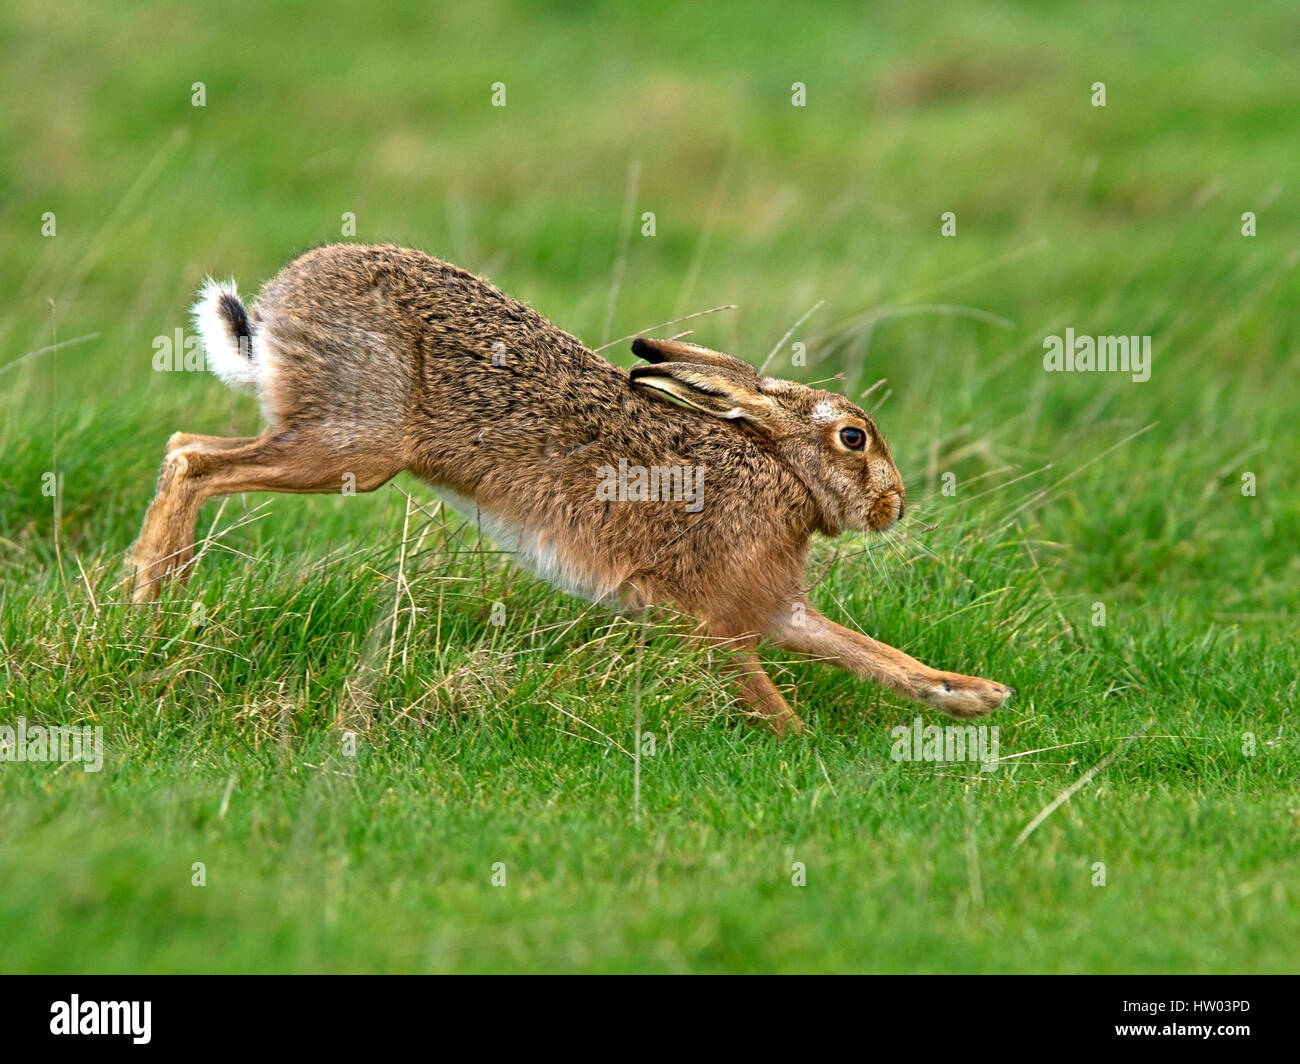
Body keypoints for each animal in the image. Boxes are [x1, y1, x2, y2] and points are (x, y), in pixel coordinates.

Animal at [129, 243, 1013, 733]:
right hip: (355, 444)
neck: (781, 473)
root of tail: (279, 305)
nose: (895, 506)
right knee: (194, 460)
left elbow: (877, 656)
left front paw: (974, 698)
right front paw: (802, 744)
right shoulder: (721, 620)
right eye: (852, 438)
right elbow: (762, 690)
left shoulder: (777, 608)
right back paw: (153, 593)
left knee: (182, 448)